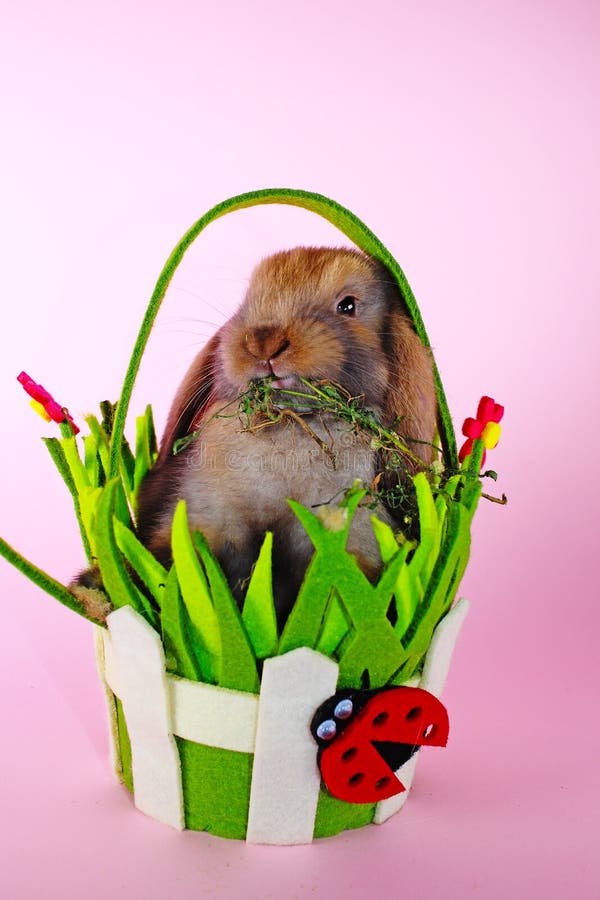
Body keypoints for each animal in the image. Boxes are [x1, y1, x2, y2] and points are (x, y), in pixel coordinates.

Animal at [134, 246, 438, 627]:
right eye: (248, 300)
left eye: (348, 306)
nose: (263, 342)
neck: (292, 425)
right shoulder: (203, 517)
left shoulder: (357, 538)